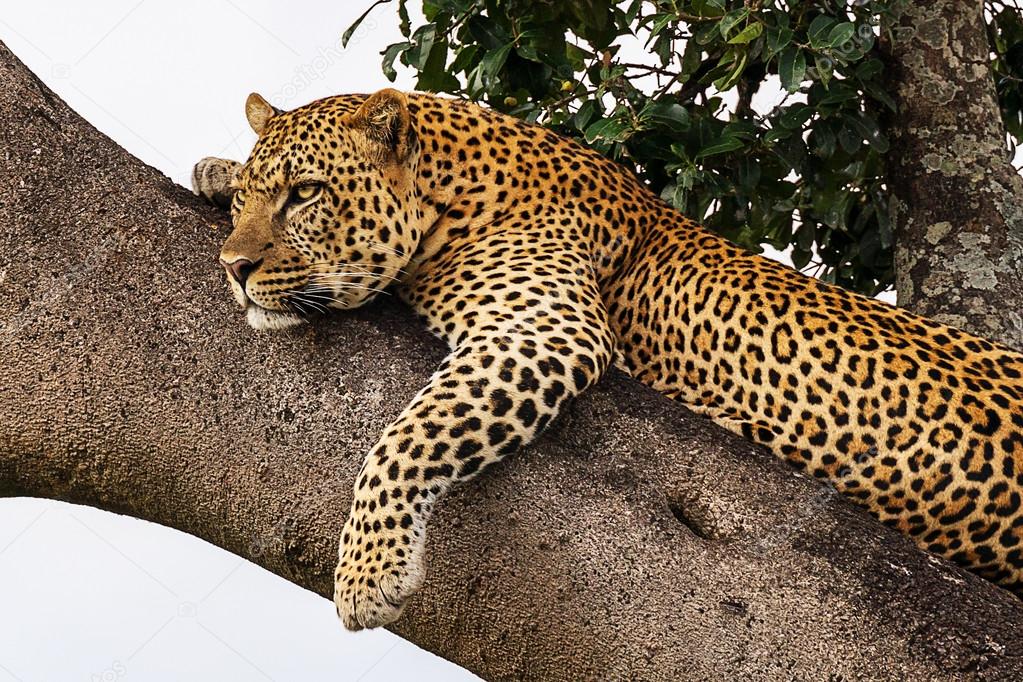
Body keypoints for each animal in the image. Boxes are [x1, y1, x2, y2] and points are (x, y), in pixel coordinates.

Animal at [192, 88, 1023, 630]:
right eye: (254, 200)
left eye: (306, 194)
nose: (234, 266)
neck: (450, 188)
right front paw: (216, 168)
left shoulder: (544, 328)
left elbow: (406, 438)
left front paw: (370, 571)